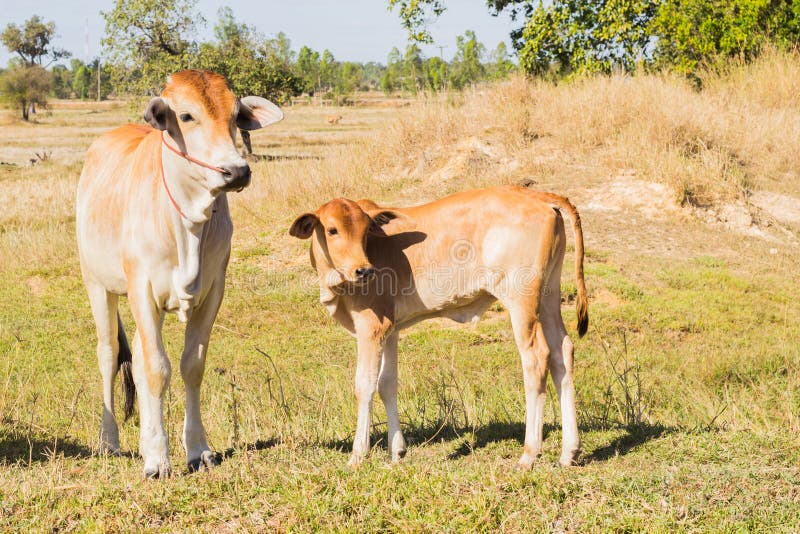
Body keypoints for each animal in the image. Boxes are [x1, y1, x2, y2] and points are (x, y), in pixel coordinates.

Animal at [76, 70, 283, 478]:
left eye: (235, 115)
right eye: (186, 116)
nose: (236, 170)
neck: (189, 222)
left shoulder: (212, 292)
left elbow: (190, 366)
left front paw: (197, 450)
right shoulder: (141, 289)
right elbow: (158, 369)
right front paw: (158, 459)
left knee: (138, 359)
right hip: (97, 285)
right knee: (109, 354)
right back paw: (110, 441)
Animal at [289, 186, 588, 469]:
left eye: (365, 231)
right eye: (332, 230)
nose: (364, 271)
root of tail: (536, 195)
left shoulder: (371, 327)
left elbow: (365, 385)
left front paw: (357, 455)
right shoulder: (391, 330)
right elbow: (387, 383)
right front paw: (397, 451)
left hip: (520, 300)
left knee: (536, 359)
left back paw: (529, 454)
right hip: (549, 296)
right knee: (562, 354)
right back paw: (569, 452)